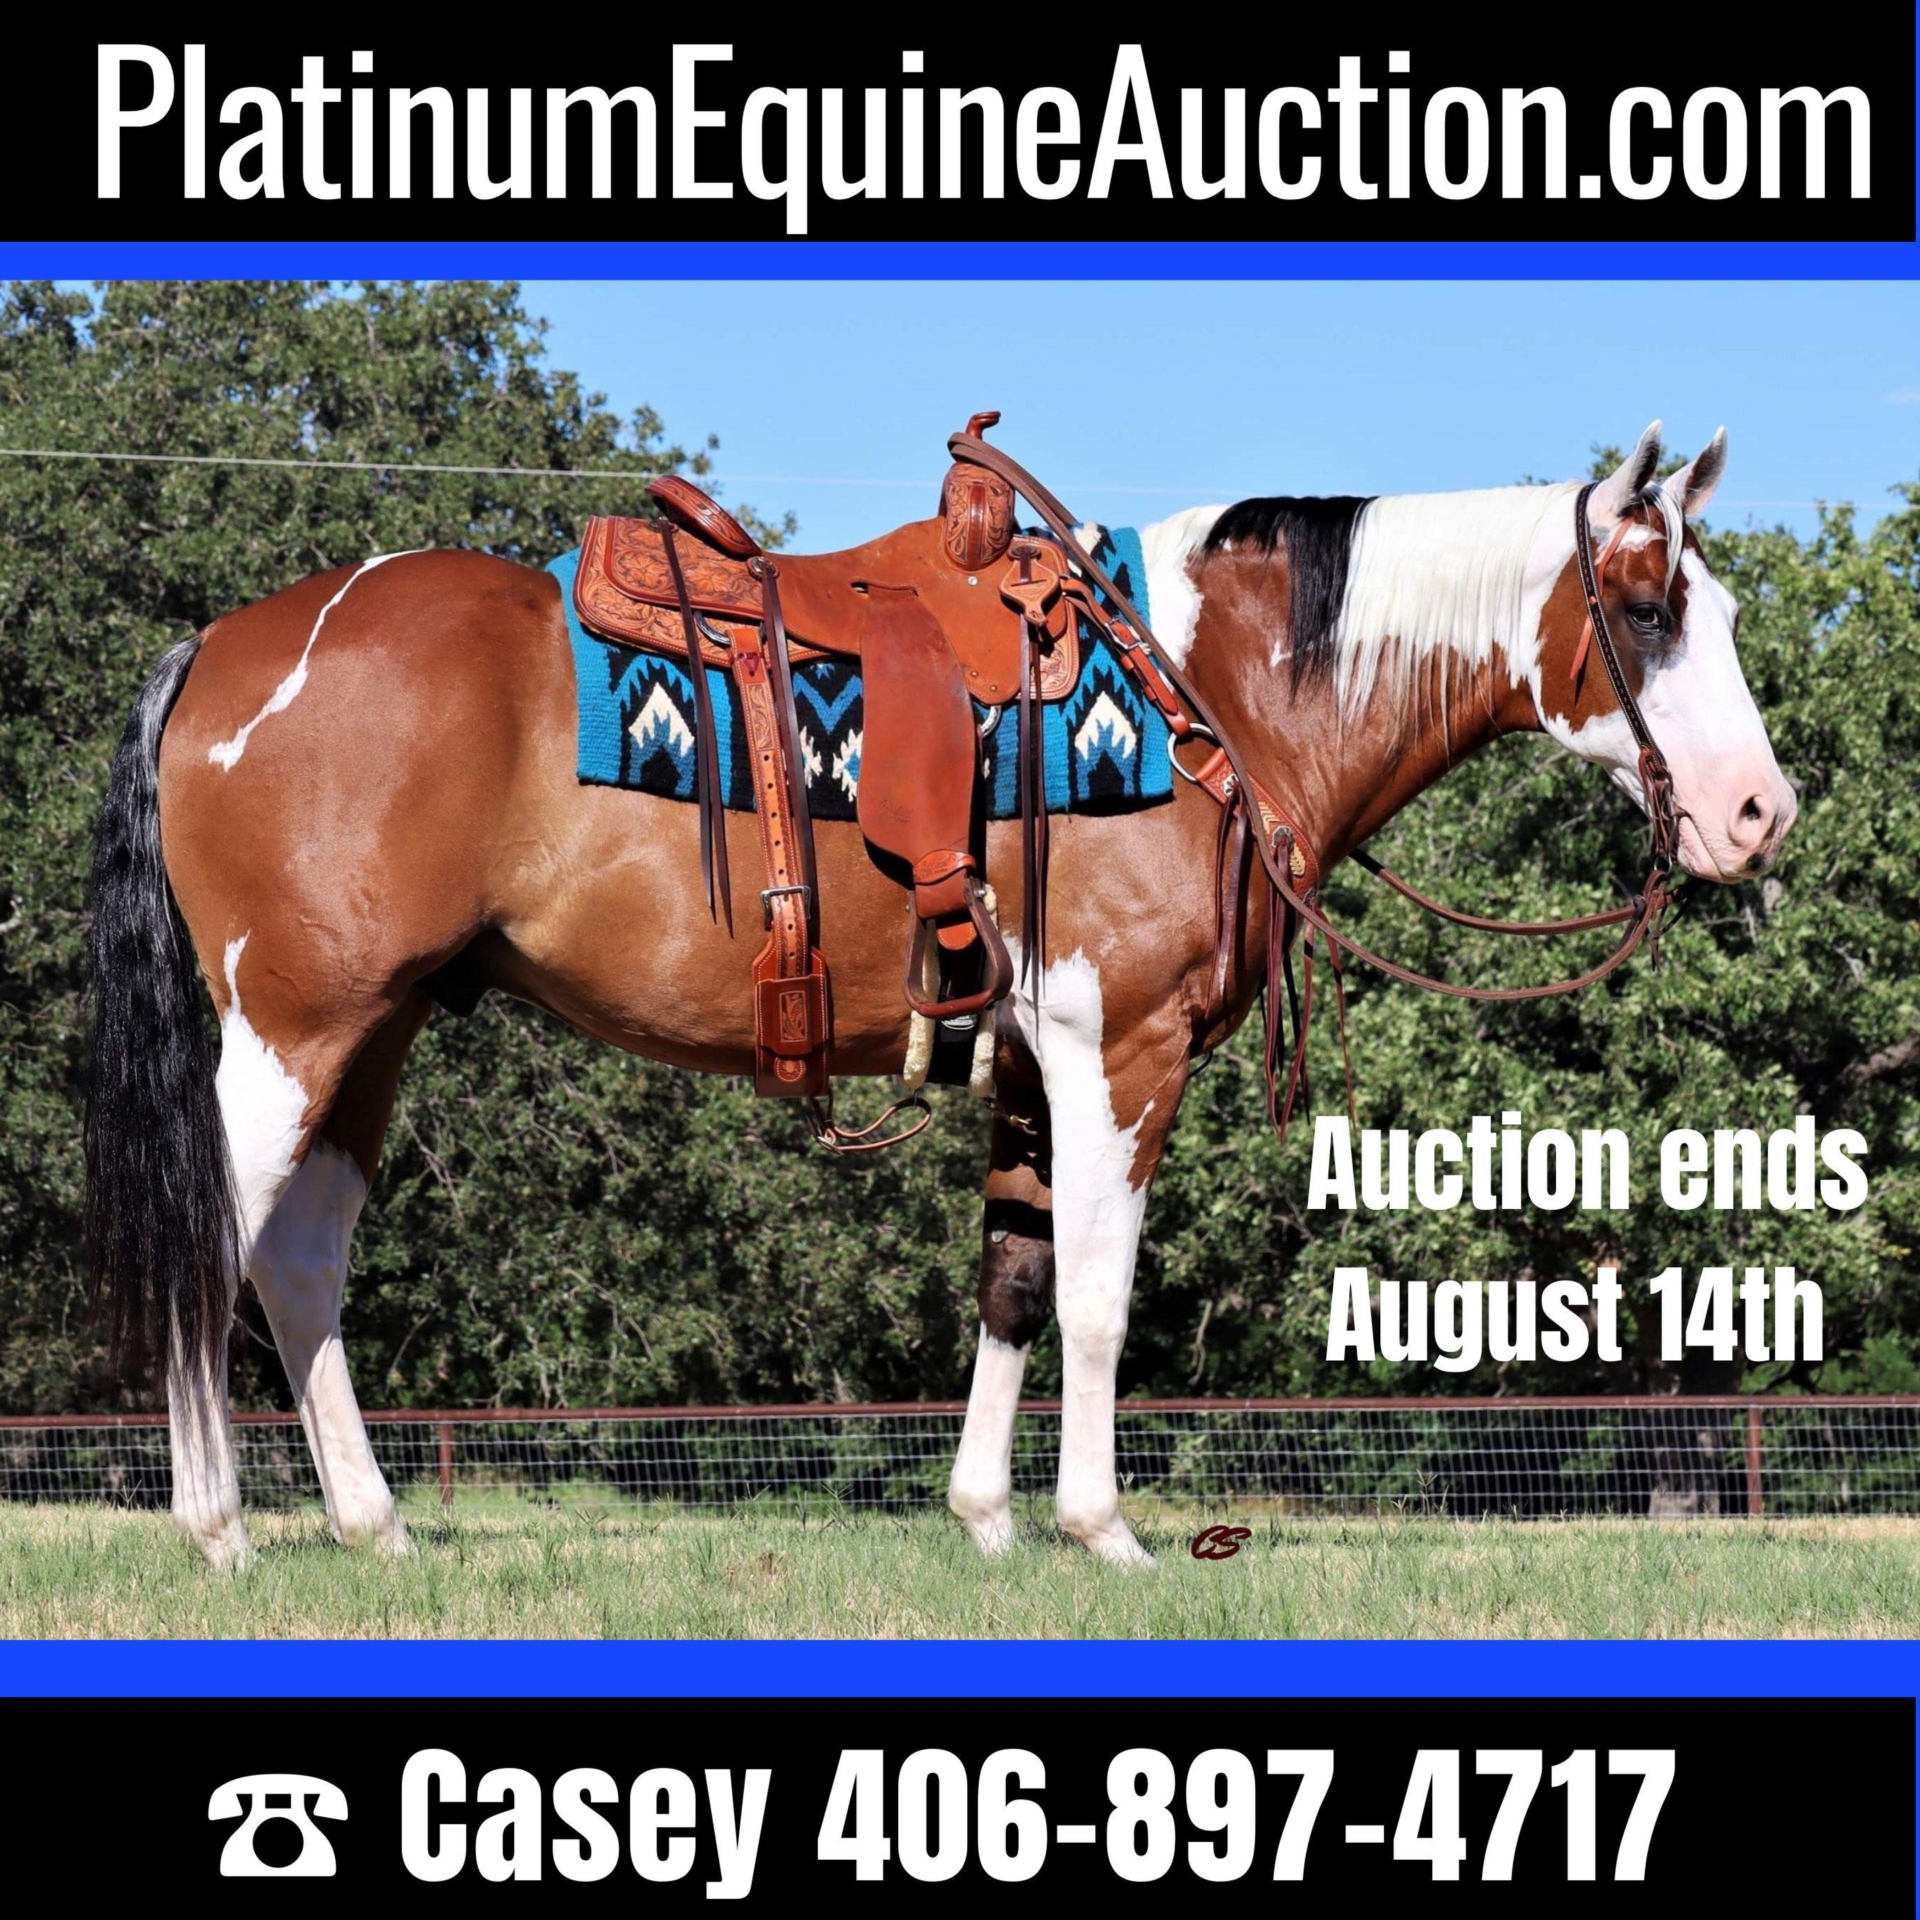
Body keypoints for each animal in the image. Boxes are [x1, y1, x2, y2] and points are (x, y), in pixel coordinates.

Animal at [83, 420, 1796, 1569]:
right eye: (1652, 612)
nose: (1758, 815)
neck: (1207, 700)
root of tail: (221, 650)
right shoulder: (1120, 1048)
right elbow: (1100, 1297)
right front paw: (1102, 1532)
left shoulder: (1034, 1059)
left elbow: (1016, 1285)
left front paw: (984, 1521)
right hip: (291, 1034)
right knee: (214, 1251)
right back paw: (218, 1527)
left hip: (370, 1037)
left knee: (298, 1264)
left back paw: (370, 1527)